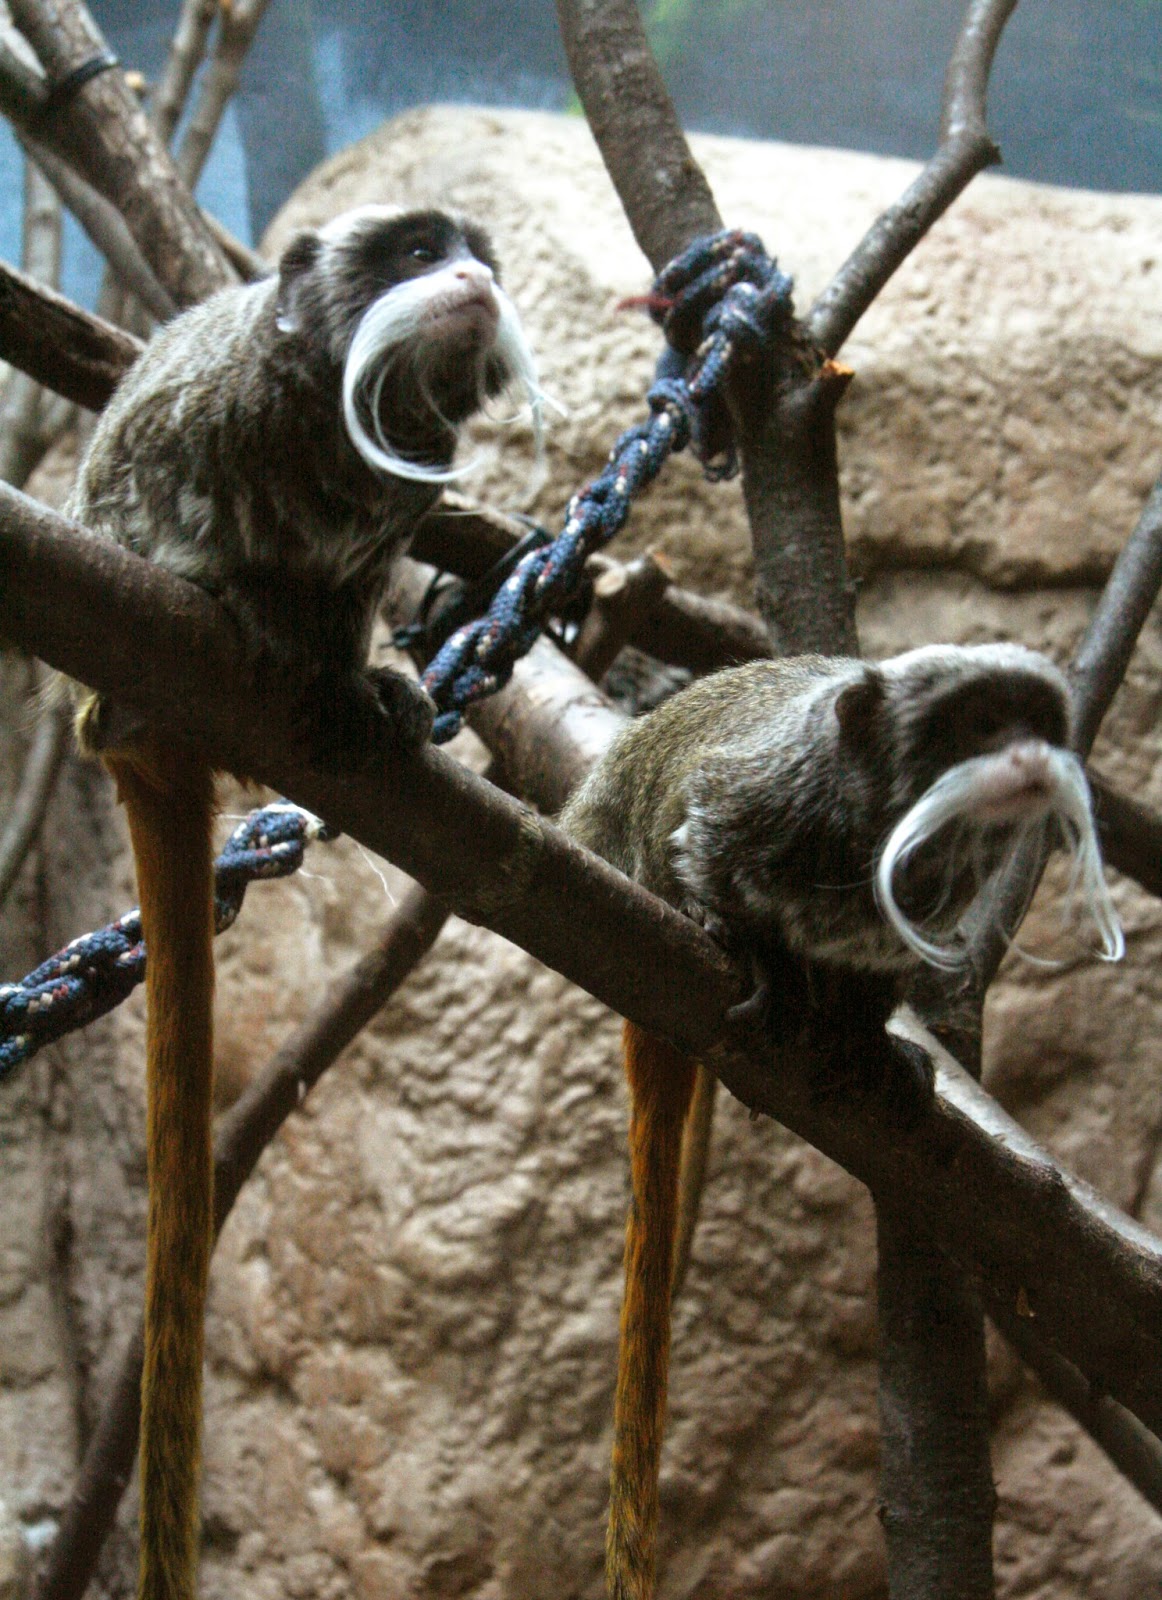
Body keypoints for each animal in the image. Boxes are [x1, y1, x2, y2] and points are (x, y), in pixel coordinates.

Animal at [65, 203, 542, 1600]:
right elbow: (148, 501)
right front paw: (244, 599)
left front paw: (369, 677)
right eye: (414, 253)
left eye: (475, 254)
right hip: (112, 700)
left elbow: (358, 588)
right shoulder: (208, 419)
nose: (467, 274)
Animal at [559, 643, 1122, 1600]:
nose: (1028, 758)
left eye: (1037, 725)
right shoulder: (762, 800)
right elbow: (707, 847)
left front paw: (870, 1044)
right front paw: (750, 951)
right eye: (983, 725)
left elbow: (880, 968)